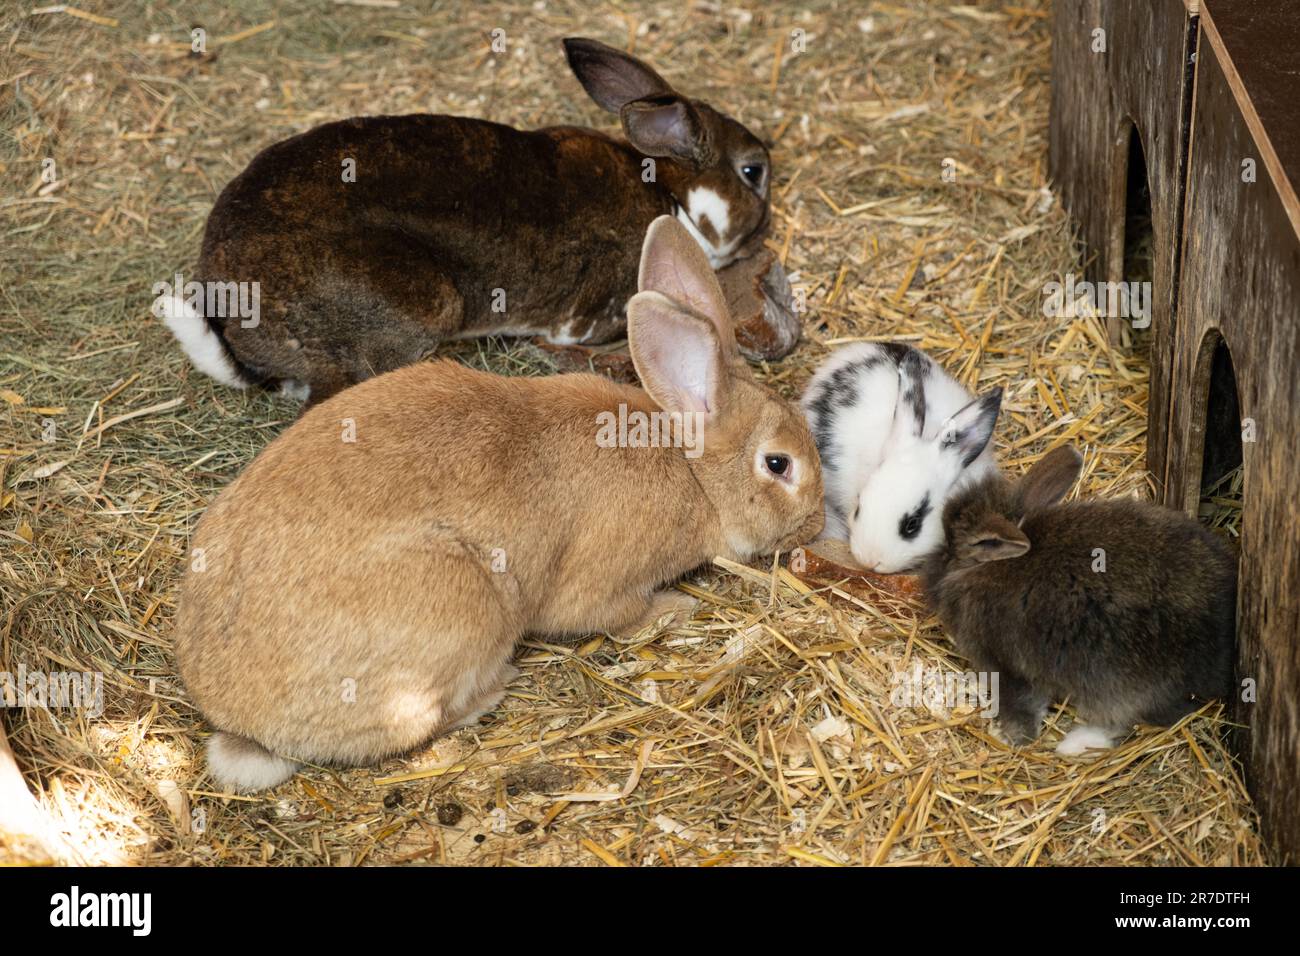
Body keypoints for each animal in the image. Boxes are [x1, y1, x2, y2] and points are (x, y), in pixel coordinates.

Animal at [172, 216, 824, 792]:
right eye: (778, 464)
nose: (815, 523)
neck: (691, 471)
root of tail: (242, 721)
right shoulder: (604, 582)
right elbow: (613, 614)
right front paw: (674, 609)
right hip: (461, 603)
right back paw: (495, 687)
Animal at [921, 445, 1237, 756]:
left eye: (951, 547)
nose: (931, 567)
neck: (991, 565)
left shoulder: (1004, 665)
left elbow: (1021, 705)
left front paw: (1009, 737)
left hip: (1121, 687)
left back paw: (1075, 744)